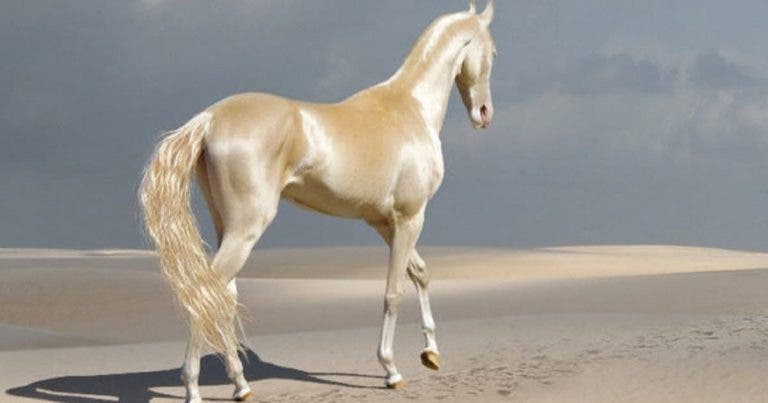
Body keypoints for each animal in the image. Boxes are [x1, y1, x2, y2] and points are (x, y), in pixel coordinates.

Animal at [140, 1, 496, 401]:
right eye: (493, 52)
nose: (484, 114)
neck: (410, 109)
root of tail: (210, 118)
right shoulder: (410, 217)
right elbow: (393, 292)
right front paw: (391, 370)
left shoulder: (383, 222)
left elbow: (419, 273)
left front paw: (431, 353)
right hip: (246, 229)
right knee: (204, 293)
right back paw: (193, 388)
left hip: (226, 228)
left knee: (222, 297)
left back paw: (241, 384)